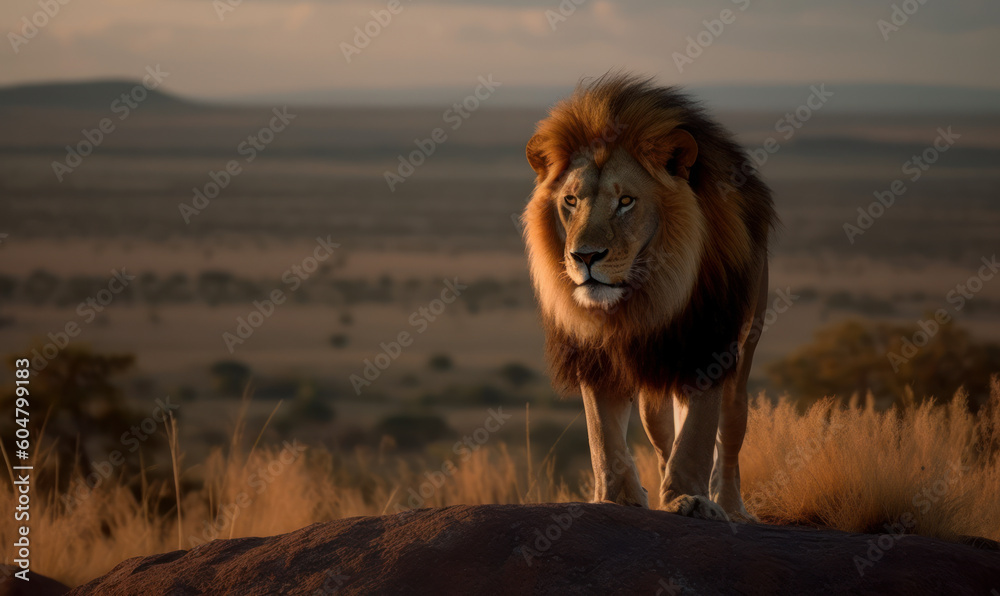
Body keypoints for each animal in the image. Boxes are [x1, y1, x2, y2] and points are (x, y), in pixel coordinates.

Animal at [522, 73, 777, 521]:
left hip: (742, 357)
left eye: (626, 201)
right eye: (570, 200)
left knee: (729, 436)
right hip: (653, 393)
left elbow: (697, 438)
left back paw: (731, 507)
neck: (641, 298)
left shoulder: (705, 345)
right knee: (661, 438)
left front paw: (691, 500)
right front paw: (616, 498)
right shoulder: (597, 355)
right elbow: (603, 438)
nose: (584, 256)